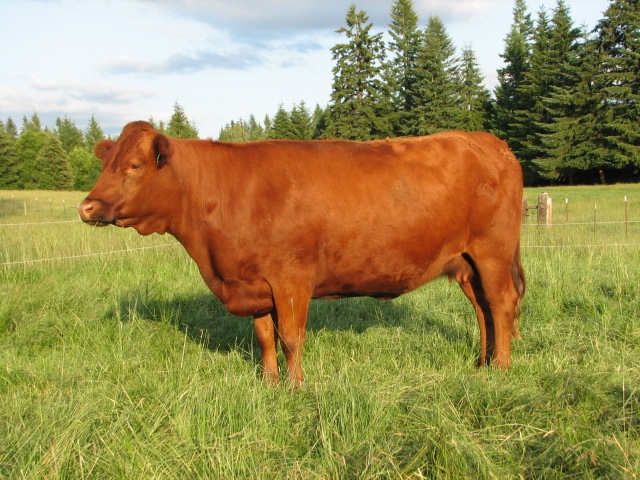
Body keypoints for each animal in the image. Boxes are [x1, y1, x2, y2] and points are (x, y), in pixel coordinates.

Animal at [79, 121, 525, 385]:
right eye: (106, 163)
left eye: (134, 165)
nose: (86, 207)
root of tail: (488, 141)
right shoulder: (255, 284)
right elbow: (264, 338)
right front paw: (269, 384)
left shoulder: (290, 280)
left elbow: (291, 338)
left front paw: (295, 387)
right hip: (466, 263)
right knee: (483, 309)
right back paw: (482, 365)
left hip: (492, 253)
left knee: (501, 304)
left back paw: (502, 368)